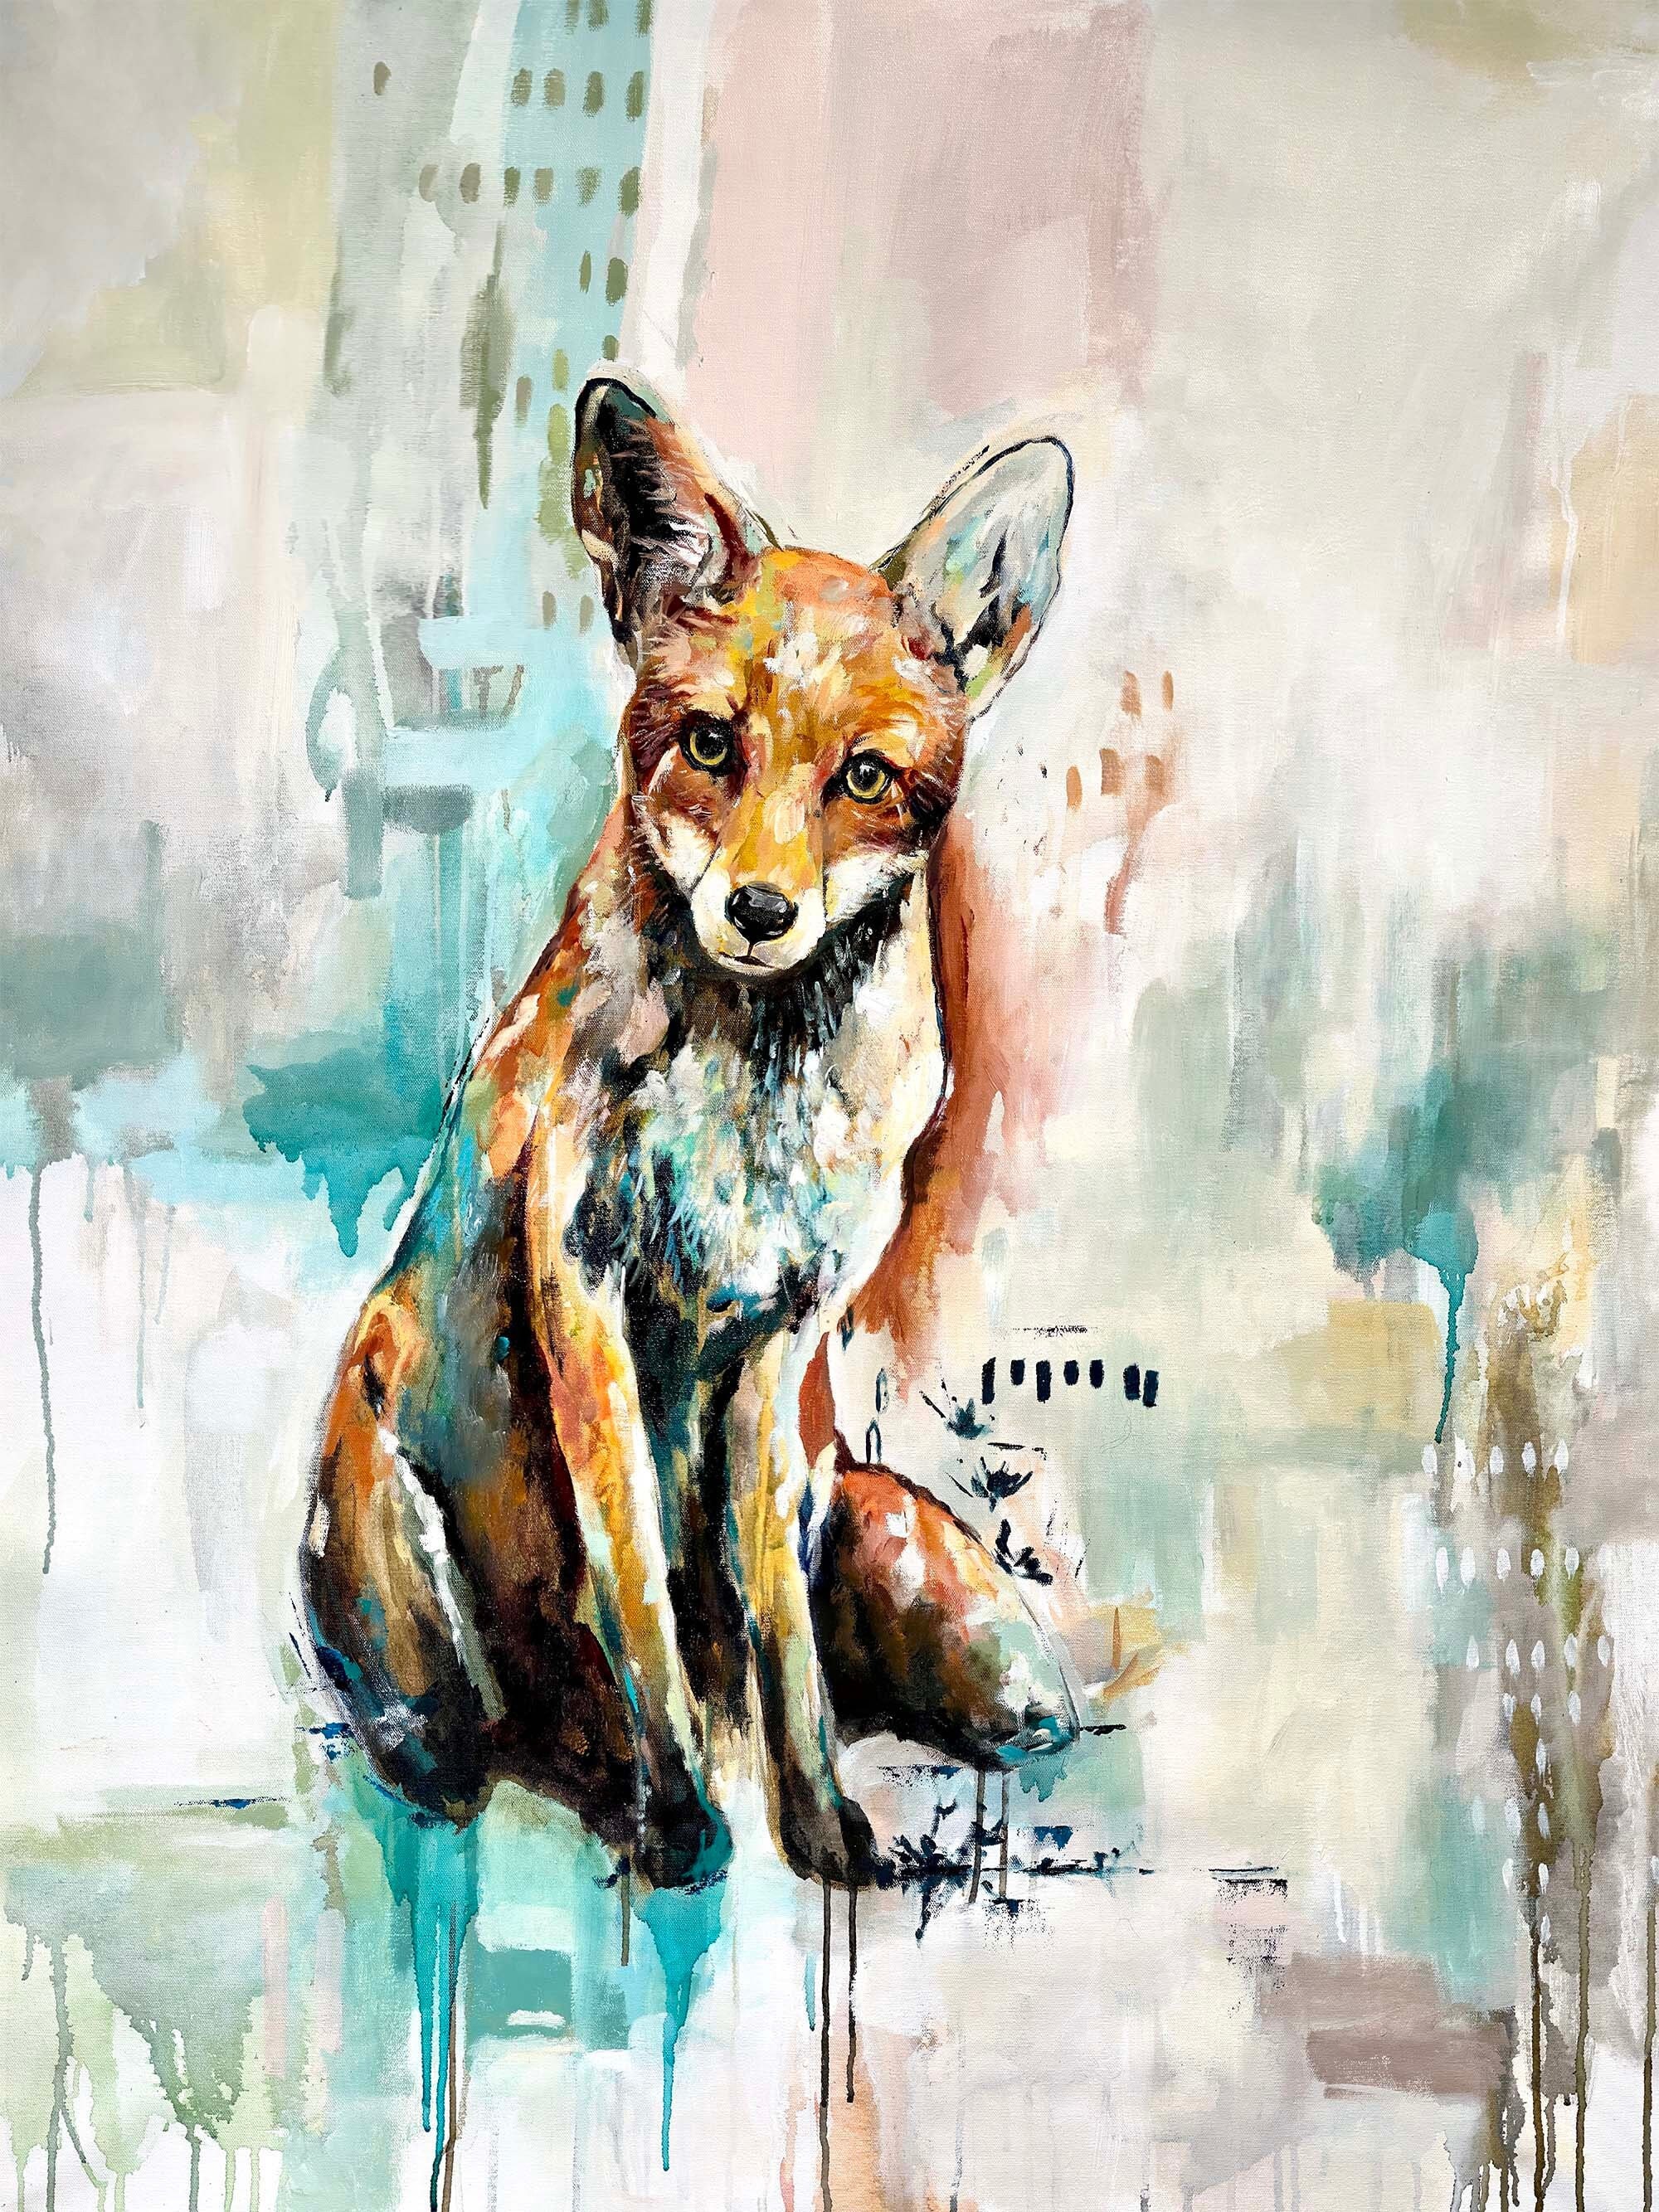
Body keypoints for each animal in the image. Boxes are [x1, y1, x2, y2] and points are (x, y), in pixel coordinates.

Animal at [301, 377, 1078, 1889]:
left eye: (865, 777)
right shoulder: (586, 1298)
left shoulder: (781, 1349)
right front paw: (680, 1820)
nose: (762, 910)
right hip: (398, 1542)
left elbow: (777, 1631)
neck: (747, 1108)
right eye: (713, 743)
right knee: (458, 1726)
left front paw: (821, 1817)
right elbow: (641, 1591)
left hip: (923, 1571)